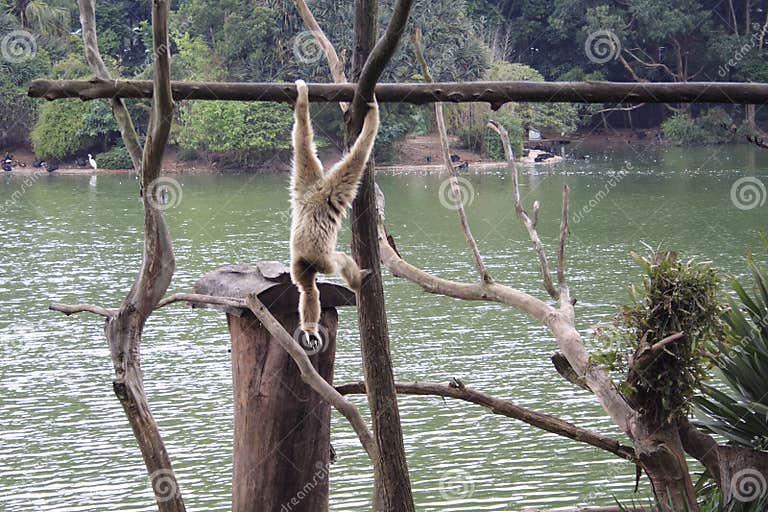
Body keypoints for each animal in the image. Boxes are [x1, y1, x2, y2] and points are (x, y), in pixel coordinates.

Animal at [289, 79, 379, 350]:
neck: (318, 192)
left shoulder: (303, 186)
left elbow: (302, 141)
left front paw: (302, 100)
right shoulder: (336, 187)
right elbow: (359, 155)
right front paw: (373, 112)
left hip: (299, 262)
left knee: (308, 289)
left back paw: (309, 329)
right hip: (320, 258)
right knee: (336, 260)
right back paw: (357, 280)